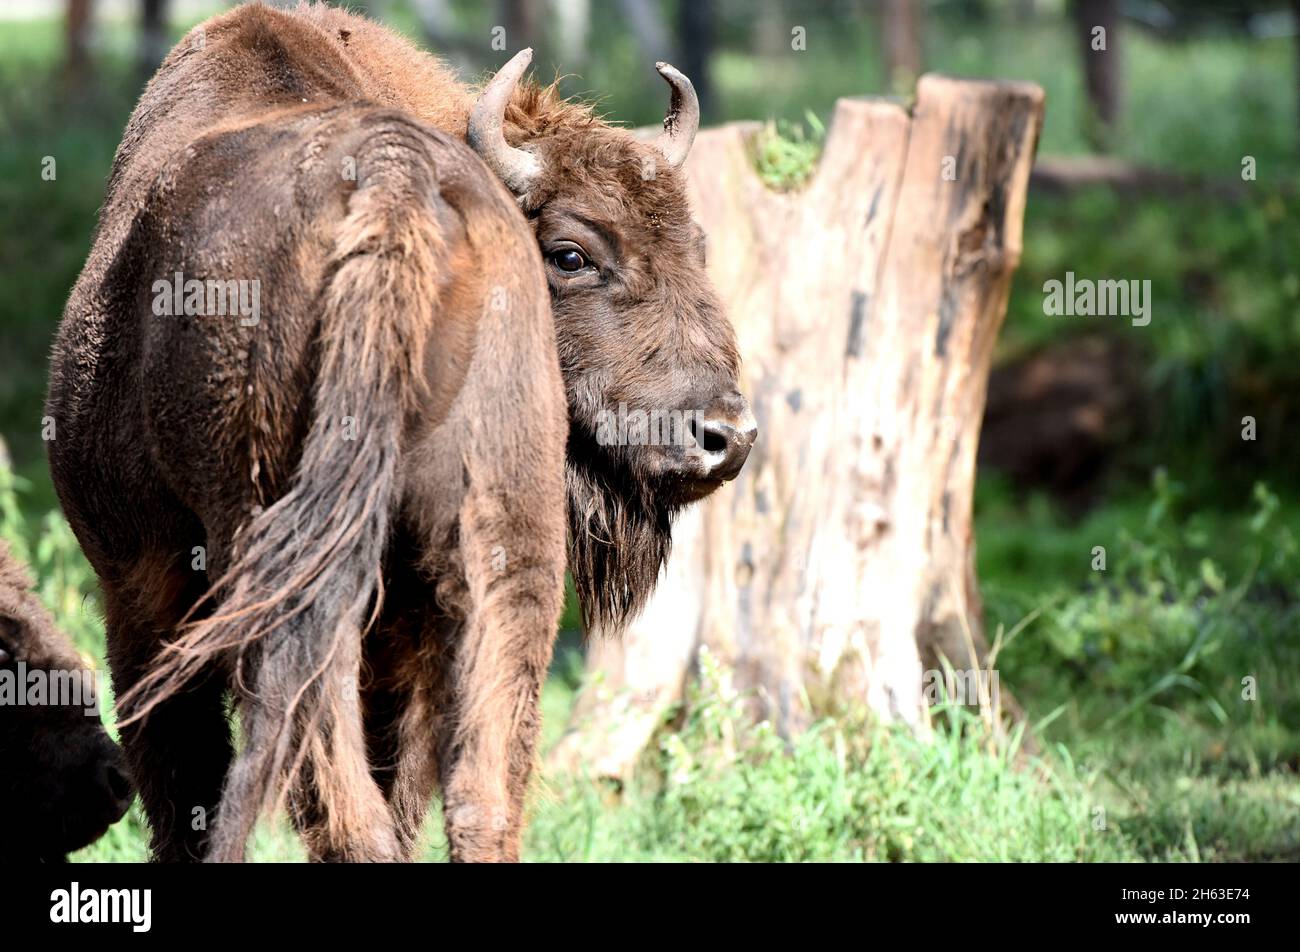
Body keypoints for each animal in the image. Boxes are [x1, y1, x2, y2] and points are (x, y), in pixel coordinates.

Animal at [47, 1, 753, 862]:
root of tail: (392, 191)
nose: (726, 434)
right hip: (503, 548)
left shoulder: (137, 595)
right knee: (478, 790)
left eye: (695, 246)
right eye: (570, 255)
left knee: (345, 800)